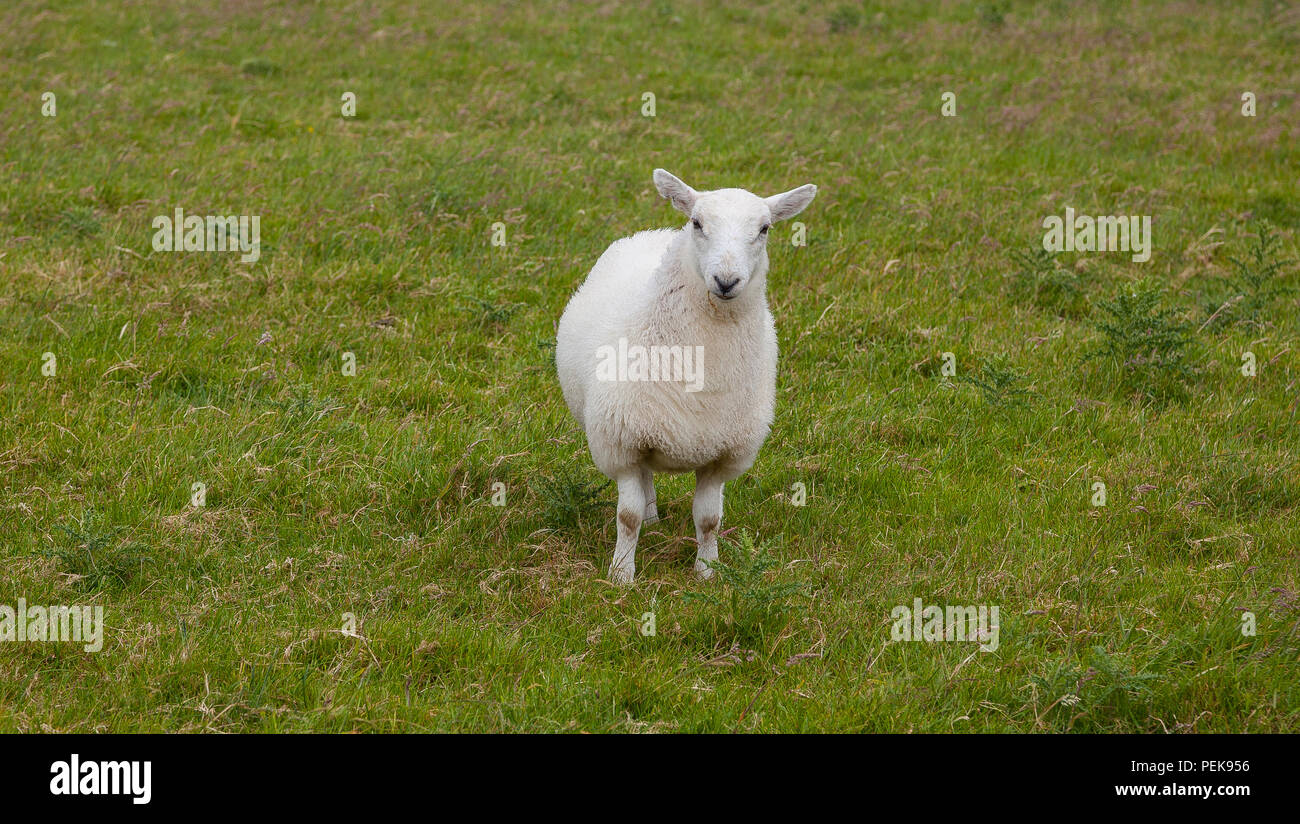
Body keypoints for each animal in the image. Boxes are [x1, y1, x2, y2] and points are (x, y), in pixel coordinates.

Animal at [556, 169, 817, 583]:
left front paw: (707, 572)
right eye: (697, 223)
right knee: (644, 484)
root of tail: (659, 232)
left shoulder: (722, 455)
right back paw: (650, 520)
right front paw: (620, 575)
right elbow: (626, 517)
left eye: (764, 228)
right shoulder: (622, 441)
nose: (726, 281)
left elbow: (709, 520)